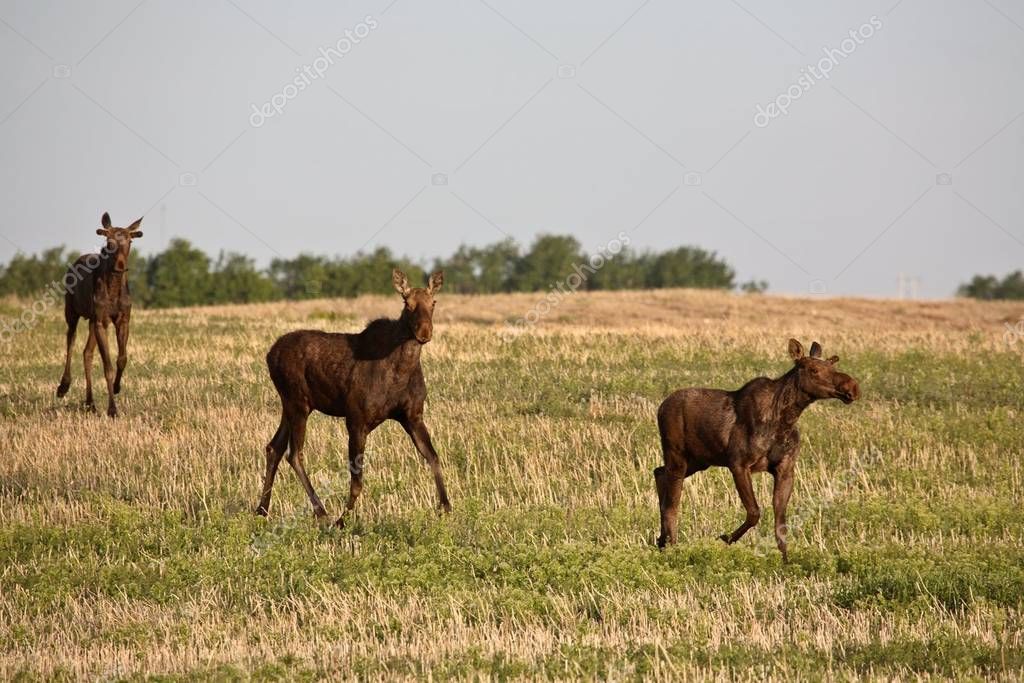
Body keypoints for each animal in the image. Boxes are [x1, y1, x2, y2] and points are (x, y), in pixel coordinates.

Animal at [56, 212, 143, 418]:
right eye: (109, 242)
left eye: (130, 241)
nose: (120, 266)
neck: (113, 289)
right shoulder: (101, 321)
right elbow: (107, 366)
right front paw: (112, 409)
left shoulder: (123, 319)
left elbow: (122, 359)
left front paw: (117, 387)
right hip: (71, 312)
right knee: (70, 340)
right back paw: (63, 386)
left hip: (91, 320)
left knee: (87, 352)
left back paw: (90, 402)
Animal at [255, 268, 451, 526]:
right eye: (406, 303)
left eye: (434, 302)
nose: (424, 332)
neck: (402, 371)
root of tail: (269, 355)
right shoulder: (356, 419)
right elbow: (357, 481)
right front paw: (343, 519)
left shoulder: (413, 416)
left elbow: (434, 458)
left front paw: (446, 508)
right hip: (297, 403)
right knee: (294, 453)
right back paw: (322, 512)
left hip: (291, 405)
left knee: (274, 447)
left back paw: (262, 509)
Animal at [654, 339, 860, 562]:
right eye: (813, 369)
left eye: (833, 366)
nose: (853, 387)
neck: (786, 419)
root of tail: (660, 407)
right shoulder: (738, 464)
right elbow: (754, 512)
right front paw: (725, 538)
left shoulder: (785, 469)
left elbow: (780, 523)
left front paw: (785, 562)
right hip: (677, 456)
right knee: (672, 503)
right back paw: (672, 546)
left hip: (699, 461)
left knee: (659, 473)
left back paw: (661, 540)